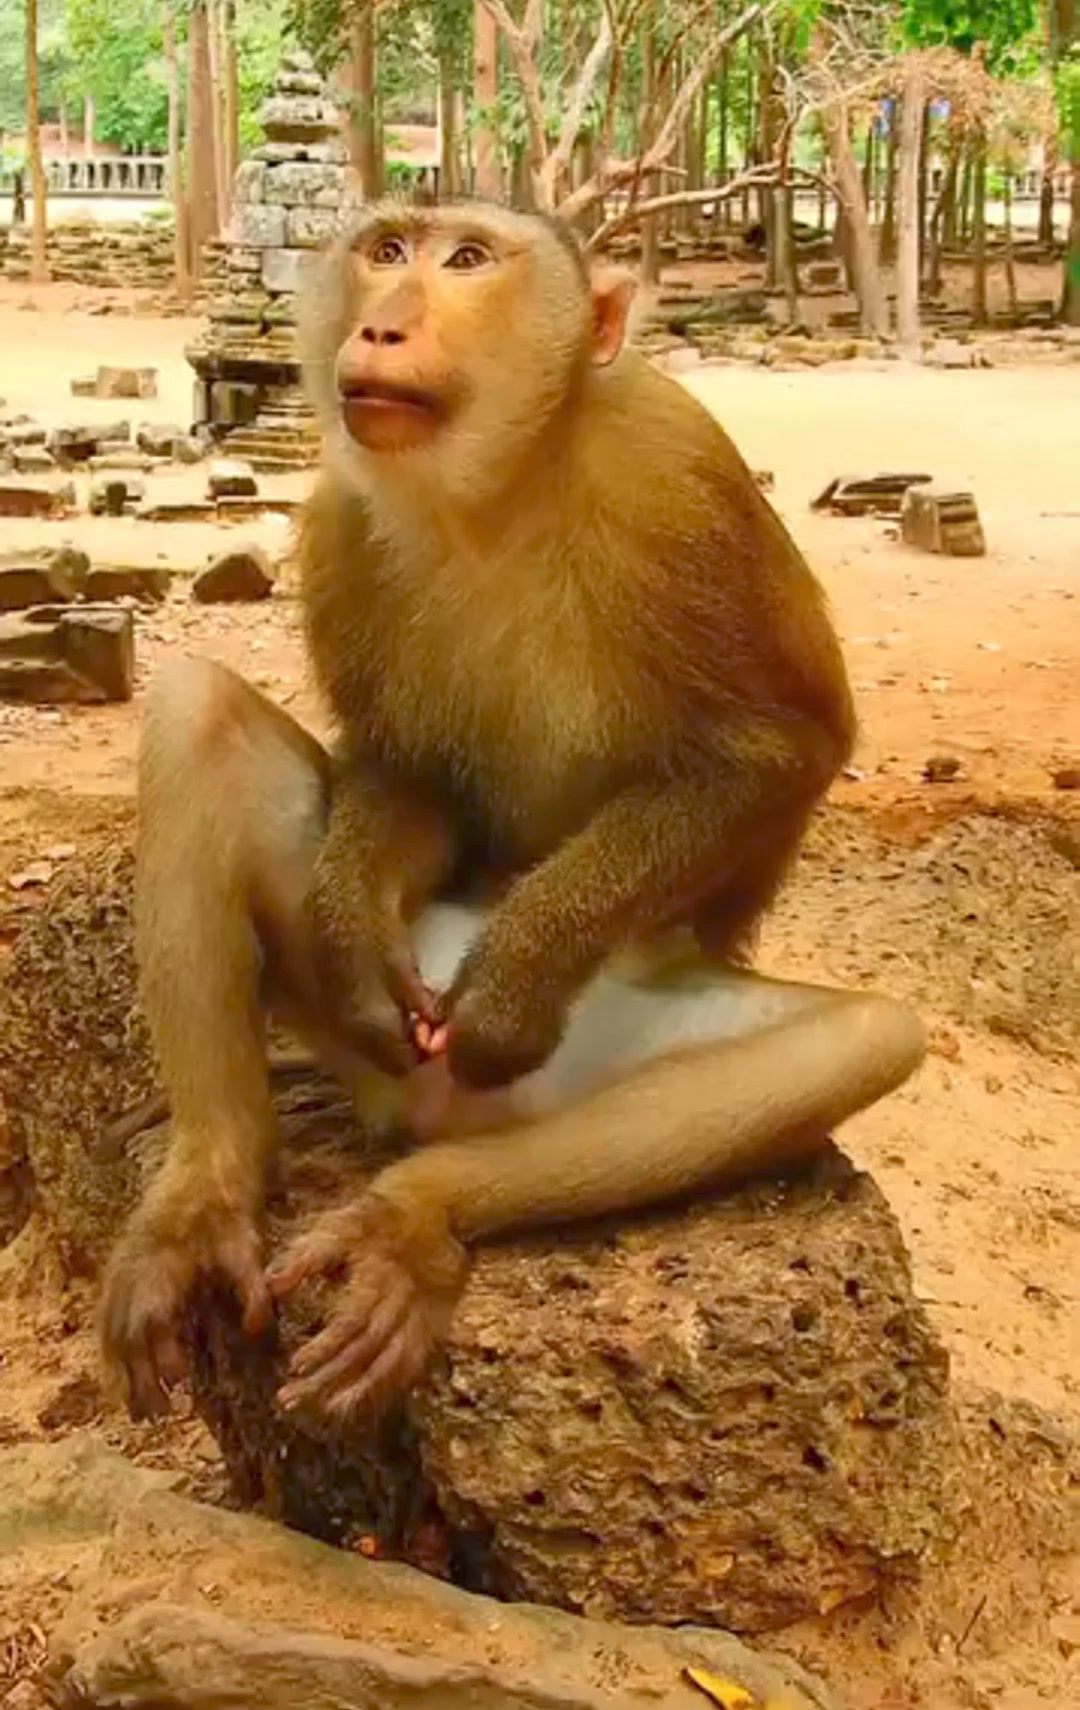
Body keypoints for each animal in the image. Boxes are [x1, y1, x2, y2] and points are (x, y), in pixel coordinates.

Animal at [100, 200, 925, 1424]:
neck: (494, 494)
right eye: (387, 252)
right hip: (376, 1044)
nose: (384, 326)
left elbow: (777, 752)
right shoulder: (337, 512)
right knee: (197, 711)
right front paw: (356, 943)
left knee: (866, 1036)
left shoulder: (677, 465)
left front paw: (519, 977)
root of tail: (425, 1111)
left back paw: (422, 1208)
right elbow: (405, 774)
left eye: (468, 260)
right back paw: (204, 1196)